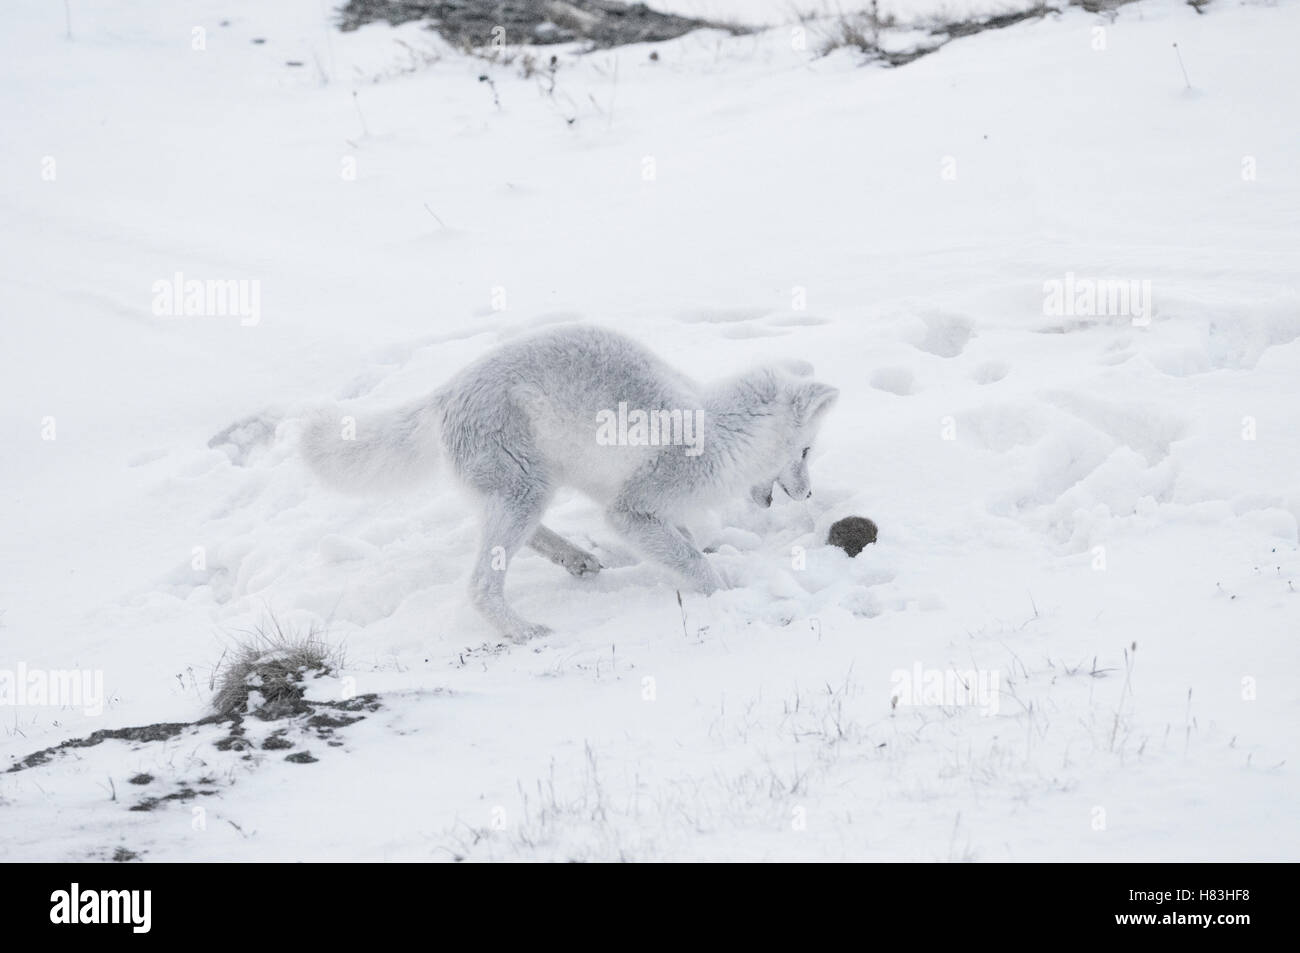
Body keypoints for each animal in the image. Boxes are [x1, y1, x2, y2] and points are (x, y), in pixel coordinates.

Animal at [301, 324, 838, 641]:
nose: (810, 493)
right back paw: (522, 631)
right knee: (480, 584)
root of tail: (446, 392)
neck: (715, 429)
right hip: (524, 491)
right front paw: (724, 592)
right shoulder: (628, 509)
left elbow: (687, 540)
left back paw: (576, 559)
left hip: (533, 488)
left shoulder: (625, 500)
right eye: (806, 451)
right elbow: (688, 557)